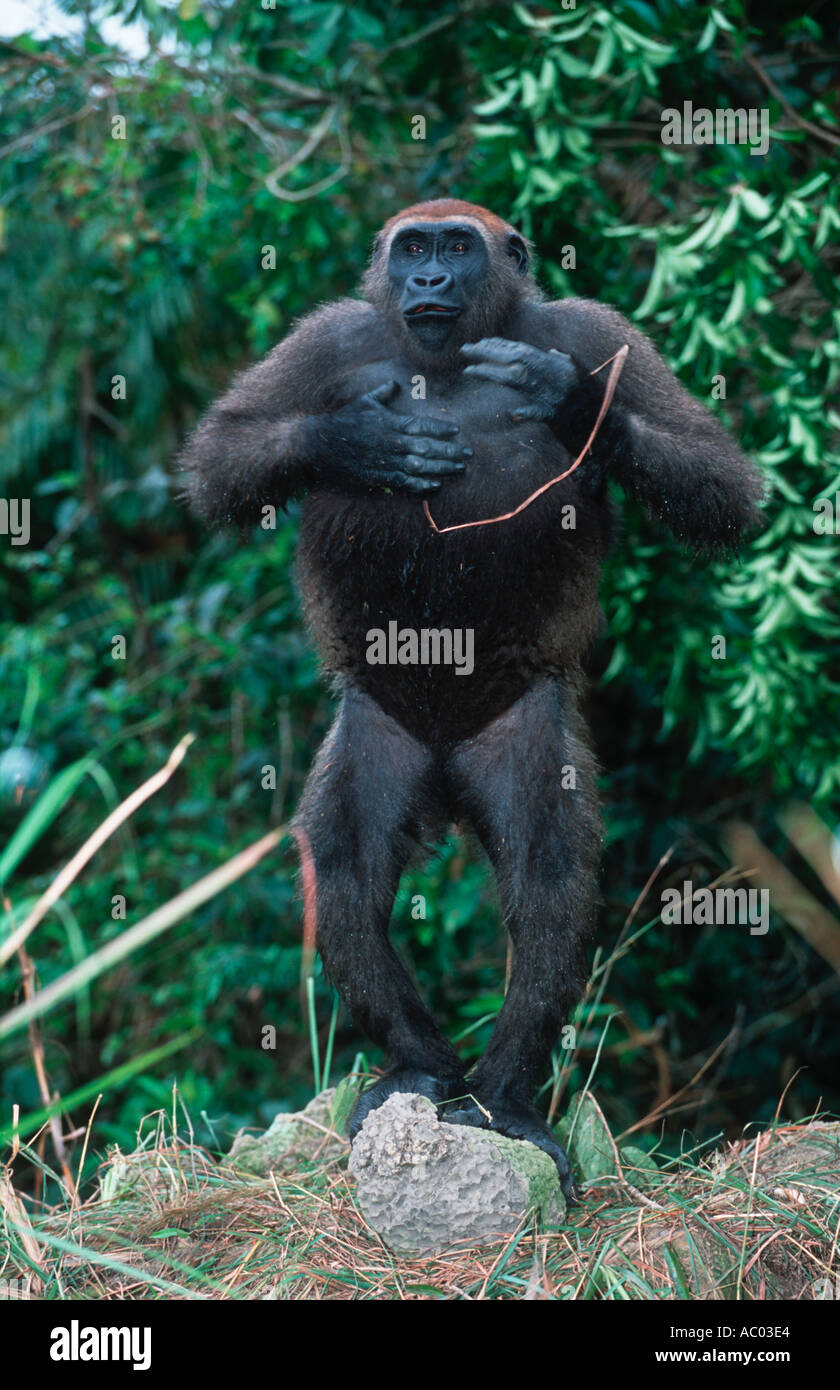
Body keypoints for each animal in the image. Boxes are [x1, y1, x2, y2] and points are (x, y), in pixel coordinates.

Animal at [181, 199, 764, 1197]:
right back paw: (420, 1065)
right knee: (346, 867)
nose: (427, 279)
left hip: (519, 729)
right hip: (384, 728)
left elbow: (714, 479)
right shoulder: (326, 339)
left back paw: (505, 1095)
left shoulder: (596, 333)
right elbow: (227, 457)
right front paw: (351, 441)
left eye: (457, 246)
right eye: (413, 247)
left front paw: (569, 404)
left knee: (548, 880)